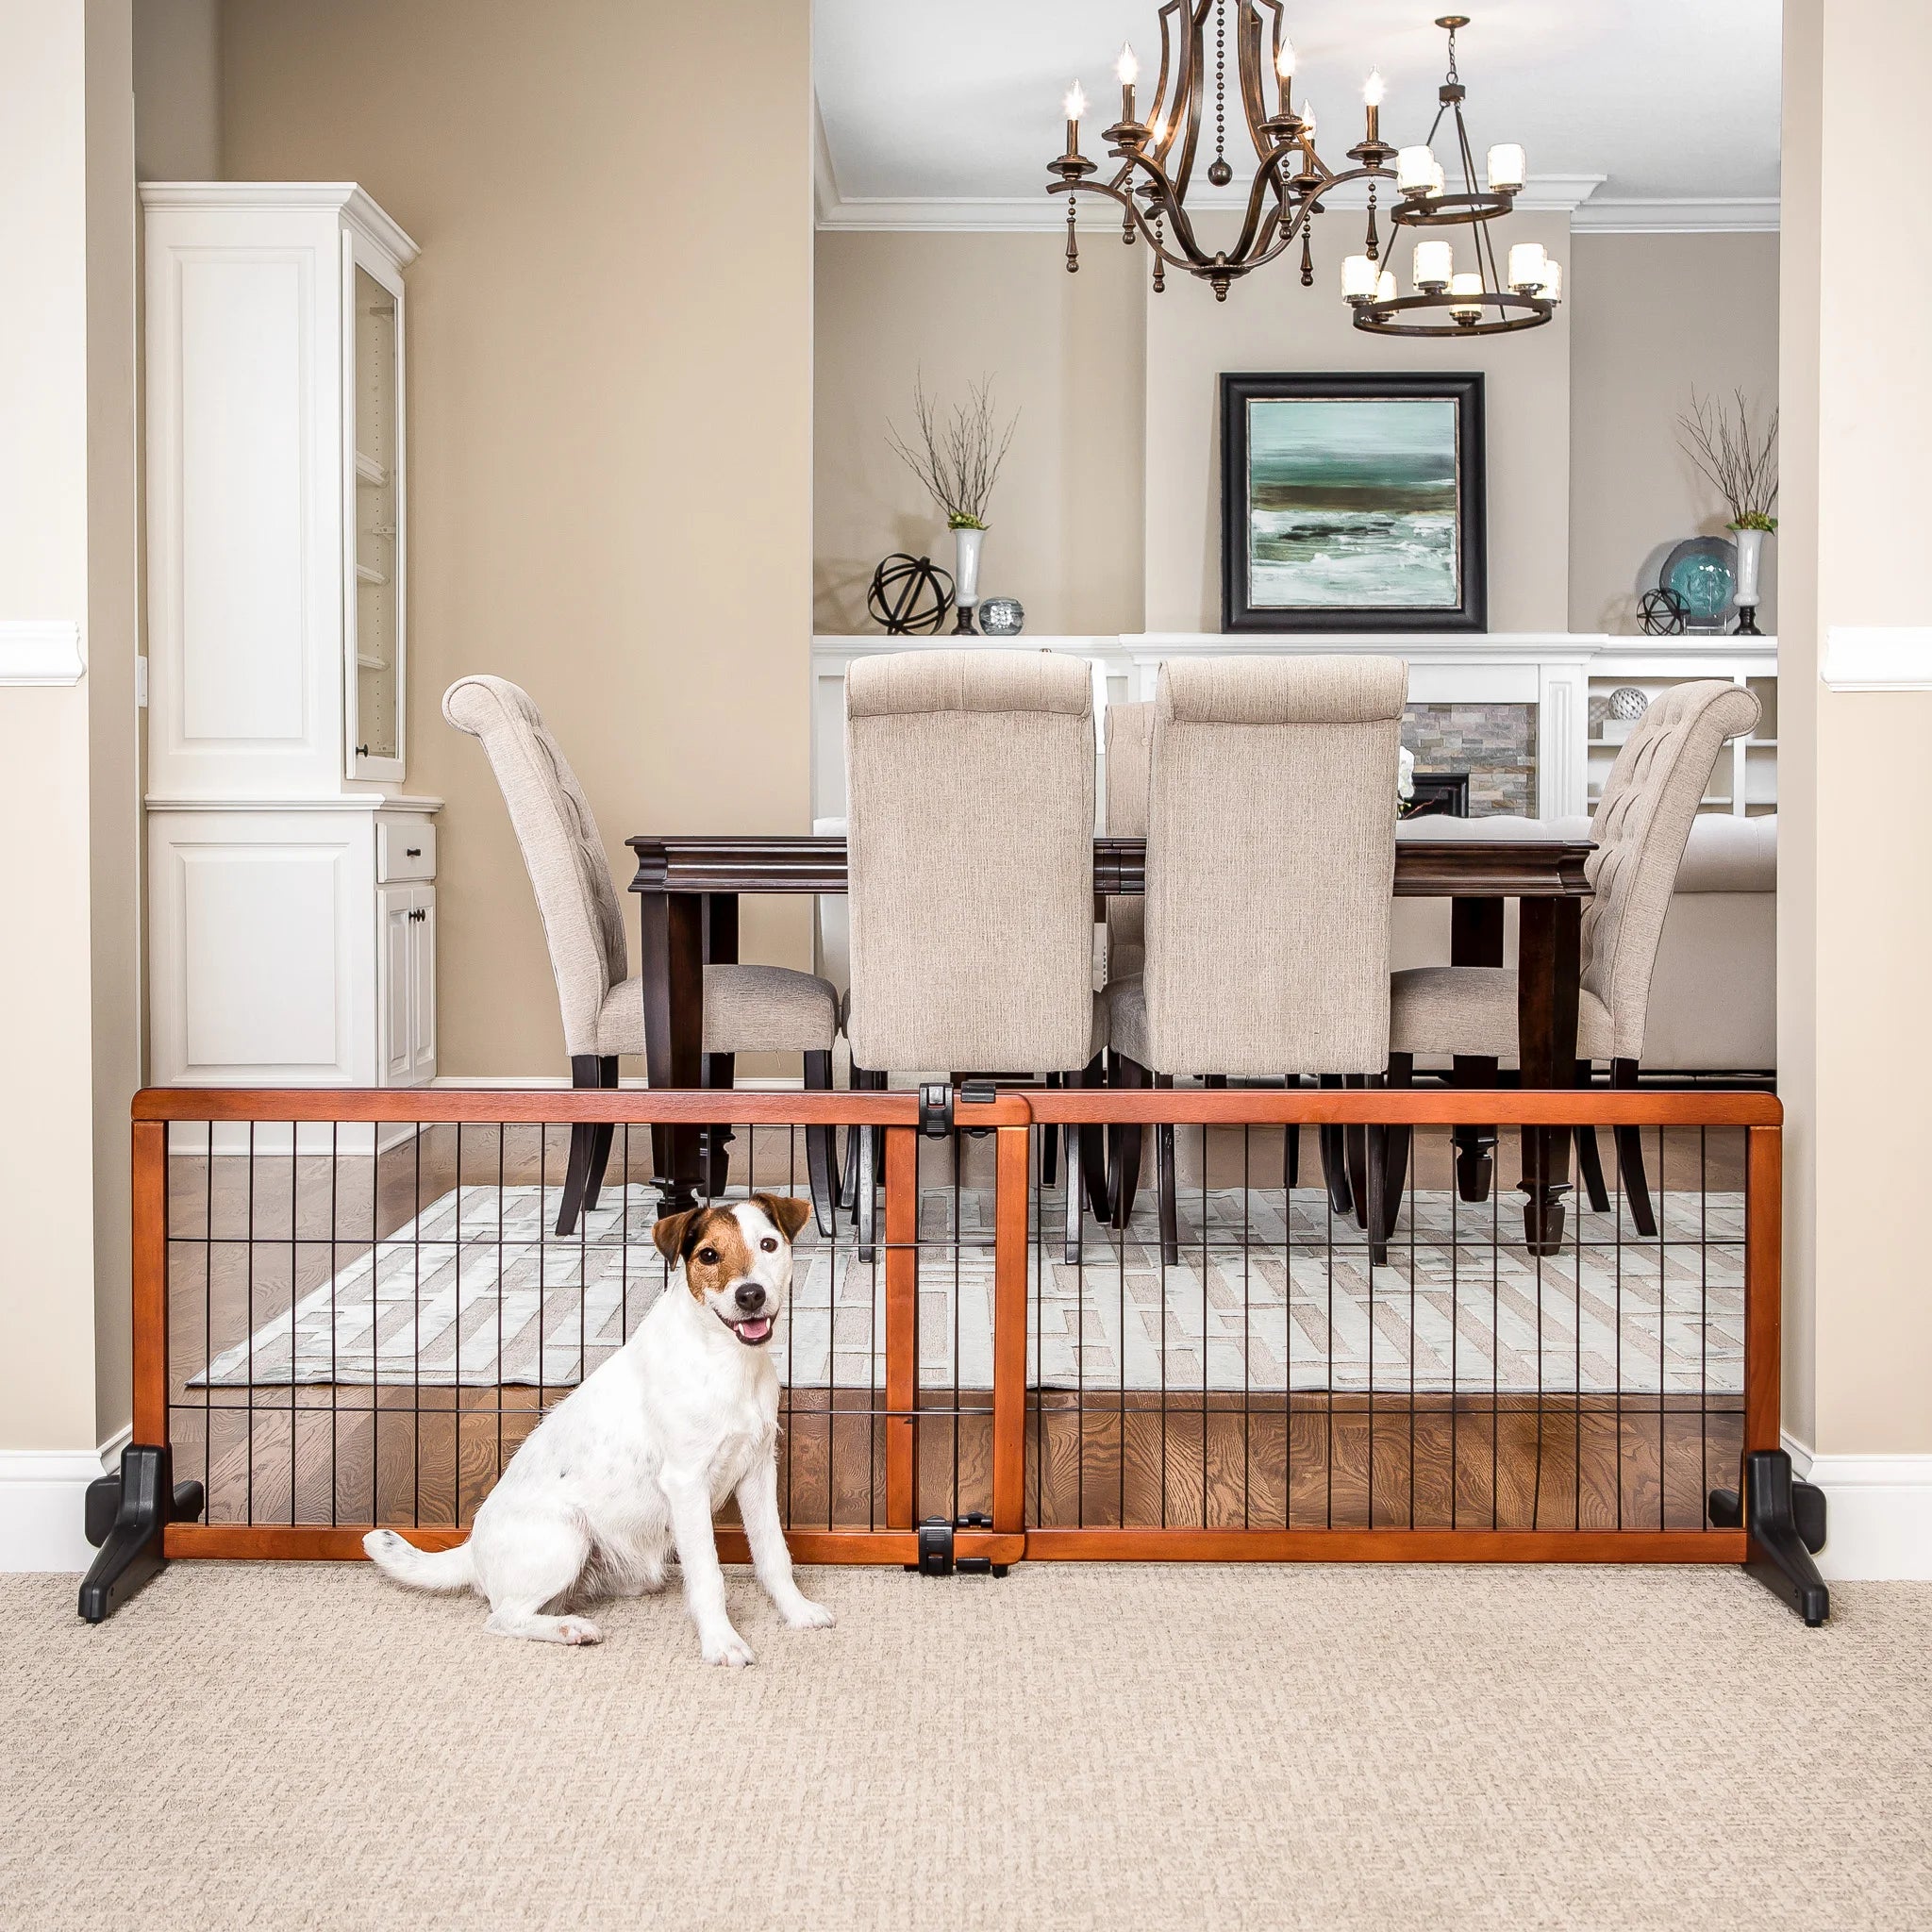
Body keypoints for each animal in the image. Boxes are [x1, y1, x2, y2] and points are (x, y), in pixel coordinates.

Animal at [363, 1190, 830, 1661]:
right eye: (709, 1255)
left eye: (768, 1245)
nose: (751, 1295)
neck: (727, 1363)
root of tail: (471, 1550)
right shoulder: (686, 1483)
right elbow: (708, 1574)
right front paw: (722, 1641)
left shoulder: (757, 1470)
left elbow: (773, 1553)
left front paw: (796, 1611)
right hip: (566, 1535)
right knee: (502, 1618)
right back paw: (570, 1628)